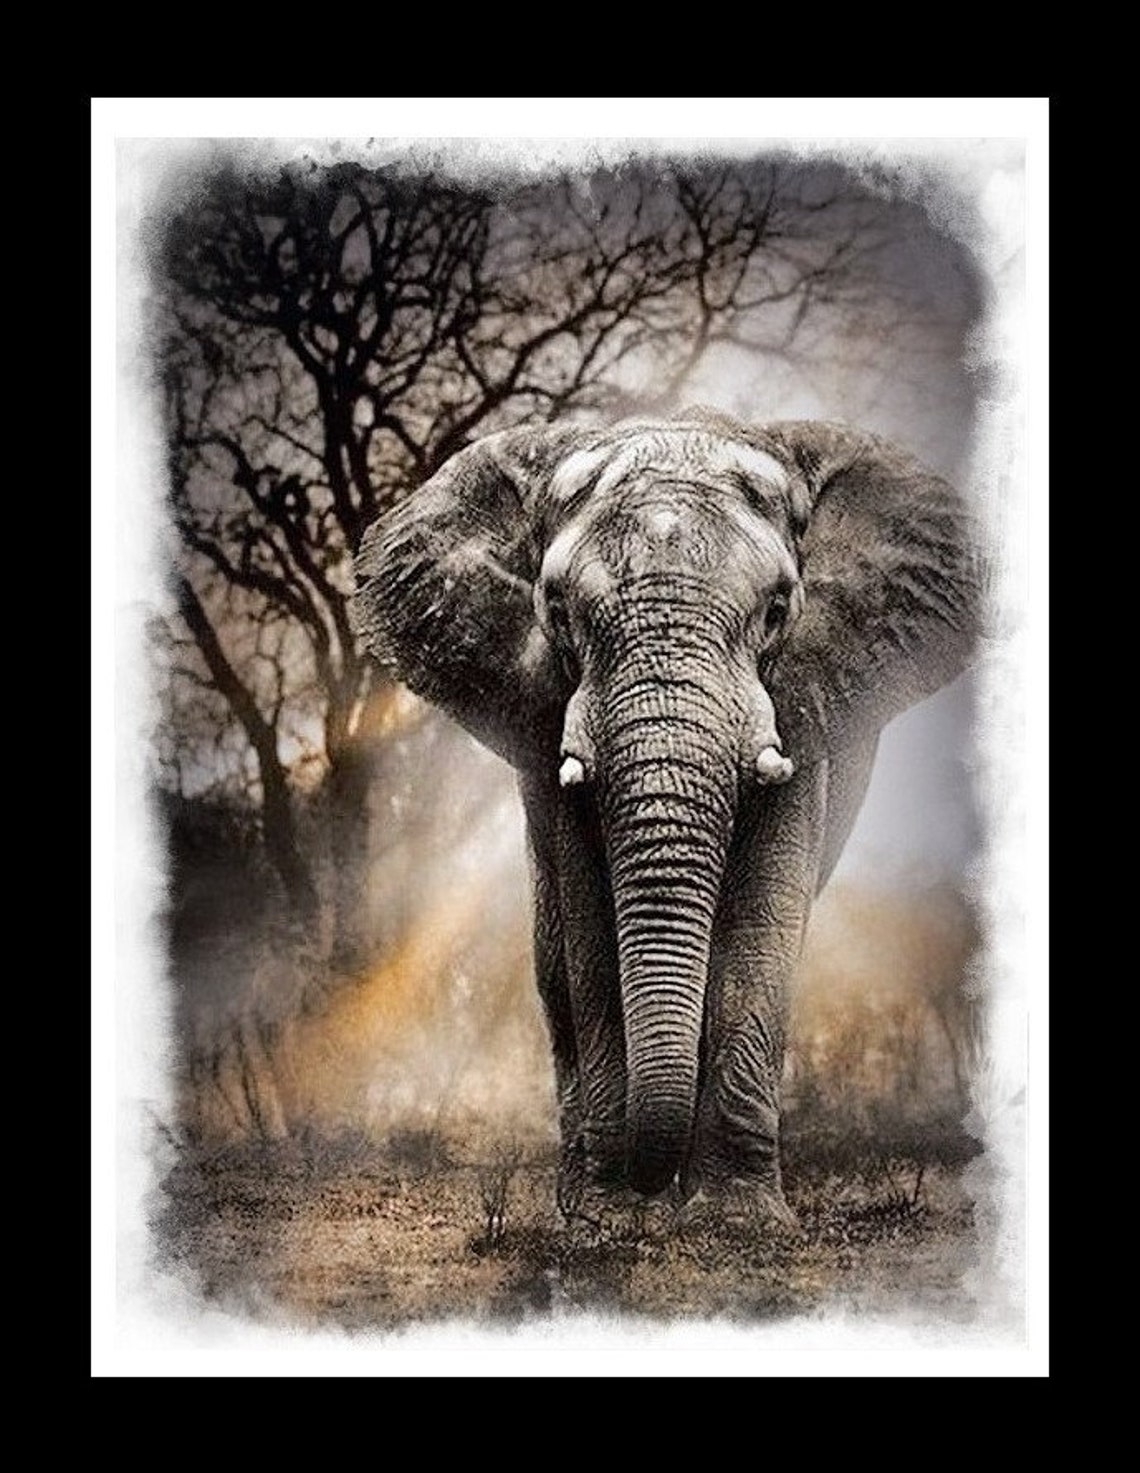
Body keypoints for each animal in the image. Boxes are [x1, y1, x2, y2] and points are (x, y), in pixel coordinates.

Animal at [352, 408, 981, 1229]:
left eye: (778, 609)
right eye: (557, 613)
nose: (645, 1184)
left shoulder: (802, 706)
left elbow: (760, 929)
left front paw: (738, 1224)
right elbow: (591, 932)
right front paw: (607, 1221)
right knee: (553, 963)